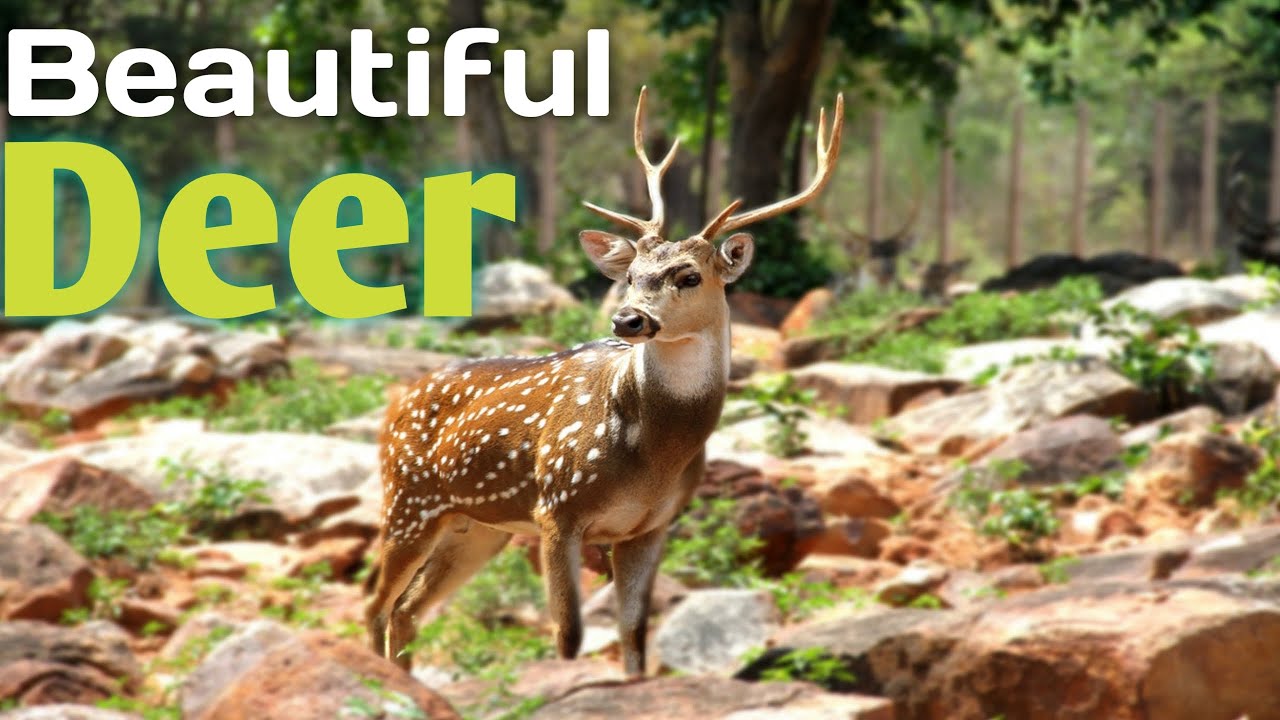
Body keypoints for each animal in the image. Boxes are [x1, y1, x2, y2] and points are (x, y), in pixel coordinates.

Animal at [364, 87, 843, 678]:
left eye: (690, 276)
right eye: (631, 275)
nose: (627, 319)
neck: (652, 457)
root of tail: (396, 402)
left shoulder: (652, 526)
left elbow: (634, 635)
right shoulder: (557, 508)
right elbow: (567, 634)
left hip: (477, 525)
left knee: (407, 610)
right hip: (409, 498)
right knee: (376, 605)